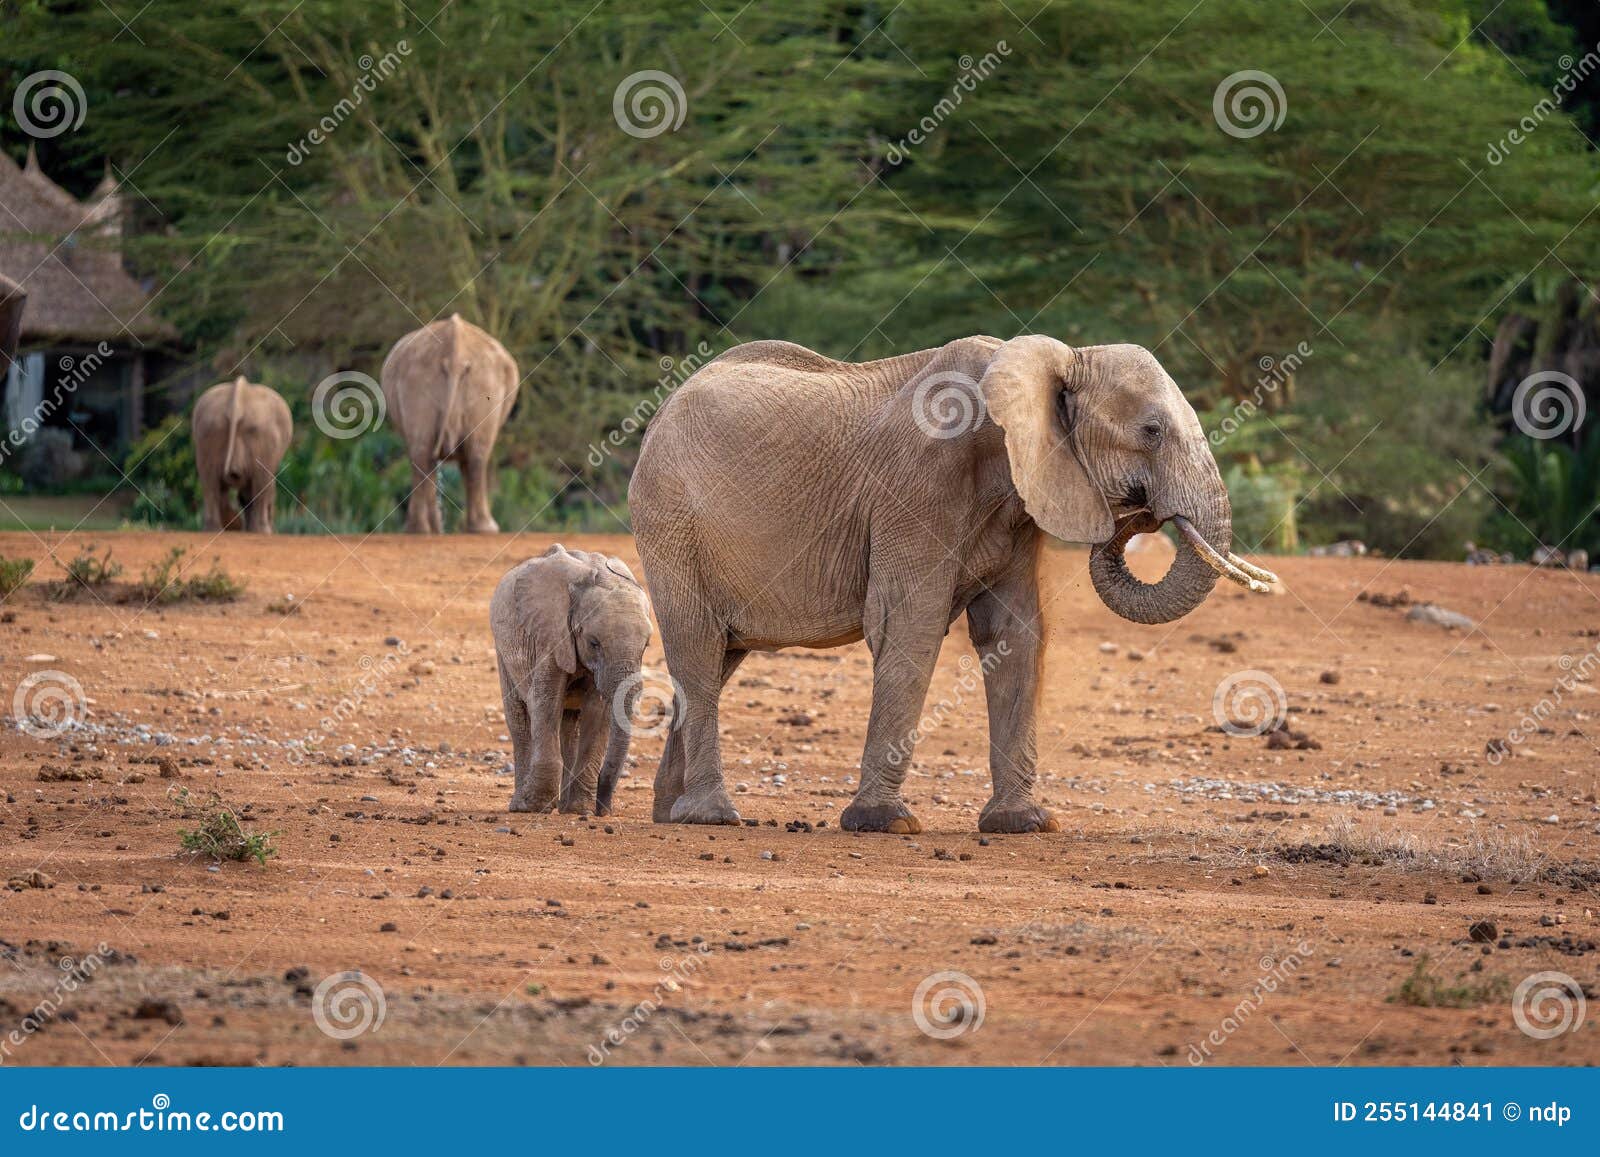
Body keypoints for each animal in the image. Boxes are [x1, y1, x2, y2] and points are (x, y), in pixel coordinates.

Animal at [191, 376, 293, 533]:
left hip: (207, 430)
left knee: (209, 479)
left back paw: (214, 530)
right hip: (262, 435)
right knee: (261, 479)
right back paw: (262, 532)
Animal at [490, 544, 653, 816]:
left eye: (646, 646)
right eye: (594, 643)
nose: (603, 810)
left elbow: (598, 712)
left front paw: (580, 810)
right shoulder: (550, 636)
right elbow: (545, 702)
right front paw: (535, 806)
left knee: (570, 724)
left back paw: (566, 808)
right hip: (503, 650)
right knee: (519, 718)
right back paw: (519, 804)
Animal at [630, 335, 1277, 832]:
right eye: (1151, 431)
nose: (1143, 514)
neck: (1054, 360)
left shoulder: (1021, 501)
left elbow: (1017, 636)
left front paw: (1024, 825)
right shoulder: (917, 489)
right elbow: (908, 625)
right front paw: (884, 824)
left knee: (719, 658)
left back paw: (670, 813)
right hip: (670, 521)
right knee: (697, 648)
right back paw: (711, 816)